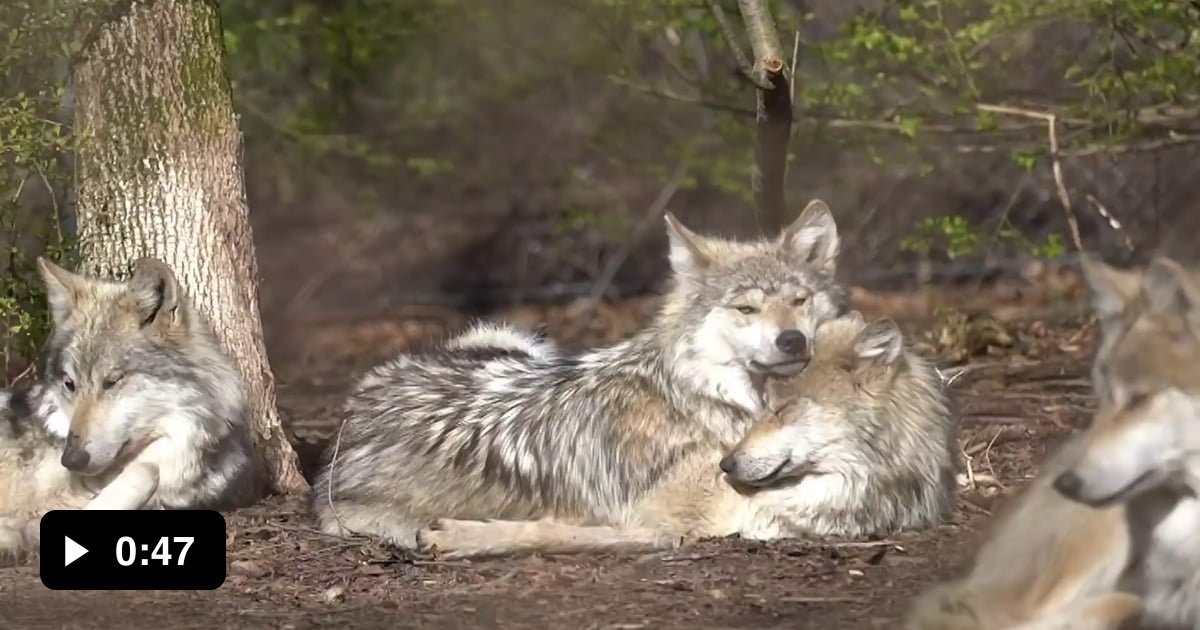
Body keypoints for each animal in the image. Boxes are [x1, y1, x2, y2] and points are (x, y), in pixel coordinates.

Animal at [409, 312, 956, 557]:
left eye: (782, 409)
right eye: (762, 406)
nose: (726, 464)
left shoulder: (668, 528)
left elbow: (555, 529)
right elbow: (550, 526)